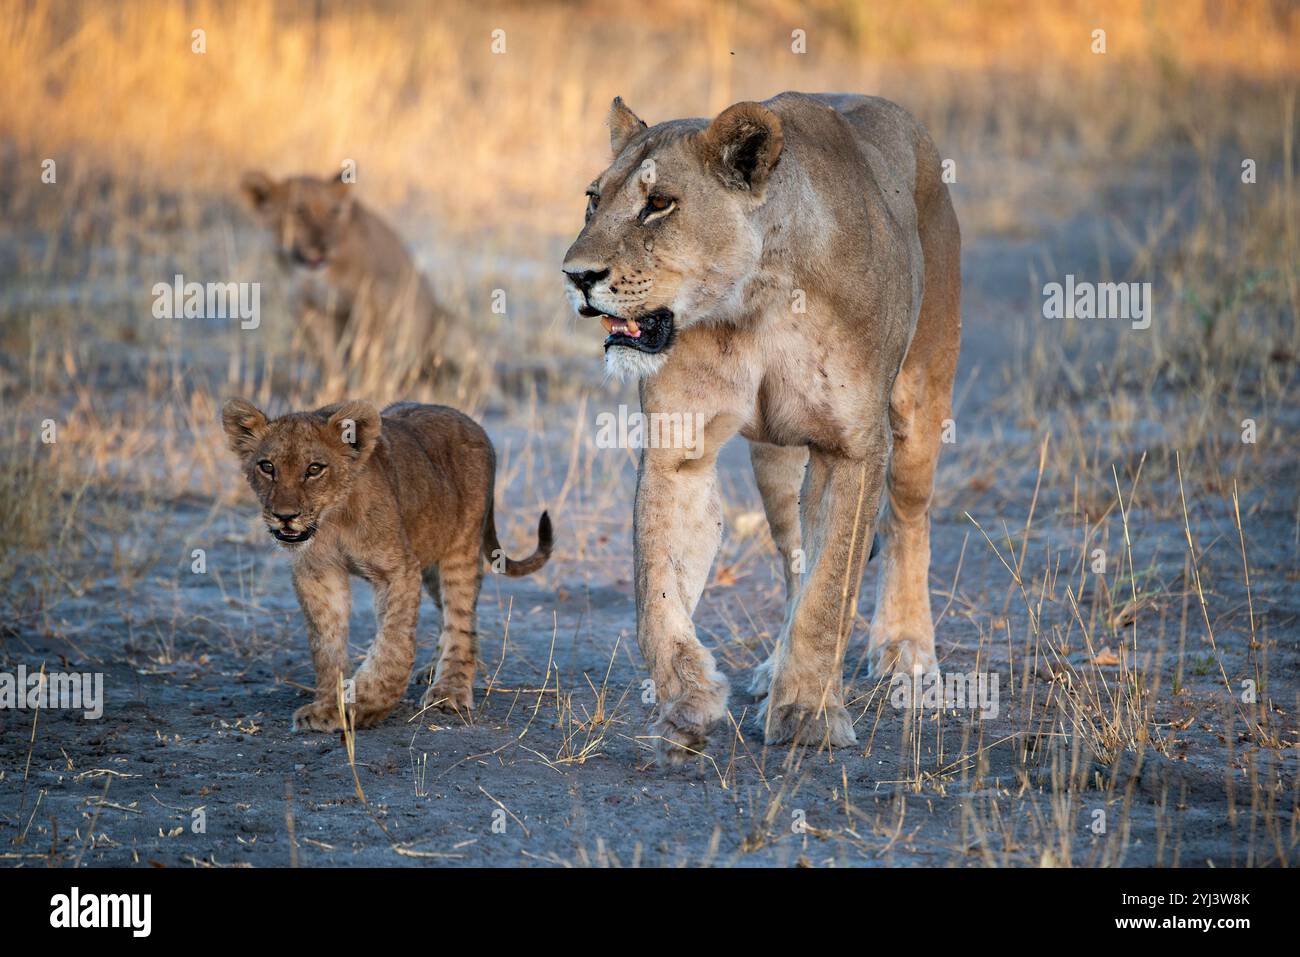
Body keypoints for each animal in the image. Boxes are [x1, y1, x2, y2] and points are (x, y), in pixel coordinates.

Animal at [221, 397, 553, 730]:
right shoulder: (318, 573)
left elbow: (393, 643)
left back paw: (450, 692)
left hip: (460, 547)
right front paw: (328, 706)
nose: (285, 516)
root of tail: (472, 423)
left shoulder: (398, 570)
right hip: (429, 559)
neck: (333, 520)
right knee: (450, 615)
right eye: (267, 467)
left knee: (461, 618)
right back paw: (435, 669)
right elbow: (326, 645)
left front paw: (367, 703)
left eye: (314, 469)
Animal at [562, 92, 961, 763]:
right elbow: (657, 594)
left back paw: (905, 651)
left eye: (659, 203)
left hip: (920, 399)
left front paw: (808, 717)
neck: (754, 304)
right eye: (593, 199)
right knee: (796, 557)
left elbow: (830, 594)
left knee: (907, 522)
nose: (575, 276)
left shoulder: (853, 448)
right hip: (777, 462)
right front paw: (688, 701)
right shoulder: (678, 446)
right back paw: (777, 668)